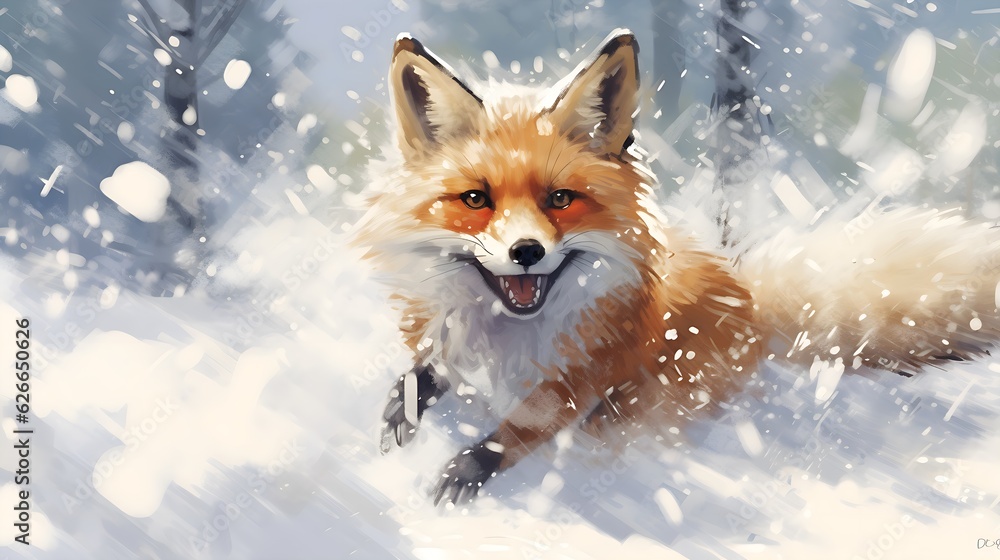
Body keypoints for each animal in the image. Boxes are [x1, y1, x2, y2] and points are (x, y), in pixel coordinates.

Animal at [353, 29, 1000, 506]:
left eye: (560, 199)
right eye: (476, 200)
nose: (526, 251)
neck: (505, 337)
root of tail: (748, 295)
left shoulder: (574, 385)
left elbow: (514, 434)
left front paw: (461, 473)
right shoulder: (445, 336)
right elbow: (420, 375)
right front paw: (399, 416)